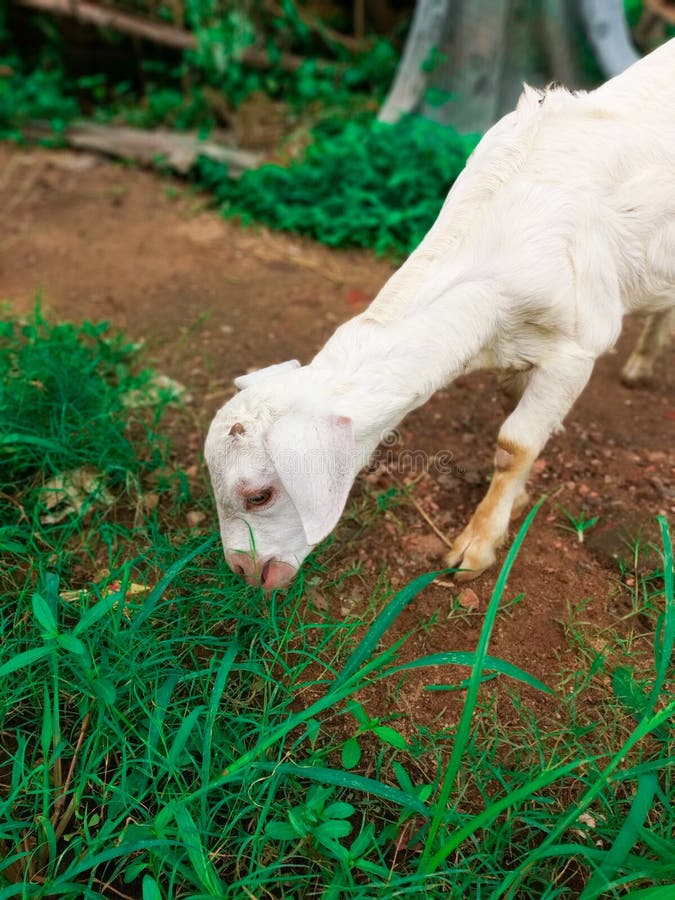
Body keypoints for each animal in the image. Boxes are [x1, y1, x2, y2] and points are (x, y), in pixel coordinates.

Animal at [205, 39, 675, 591]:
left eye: (260, 495)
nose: (243, 570)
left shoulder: (578, 345)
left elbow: (514, 443)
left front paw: (476, 545)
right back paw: (641, 364)